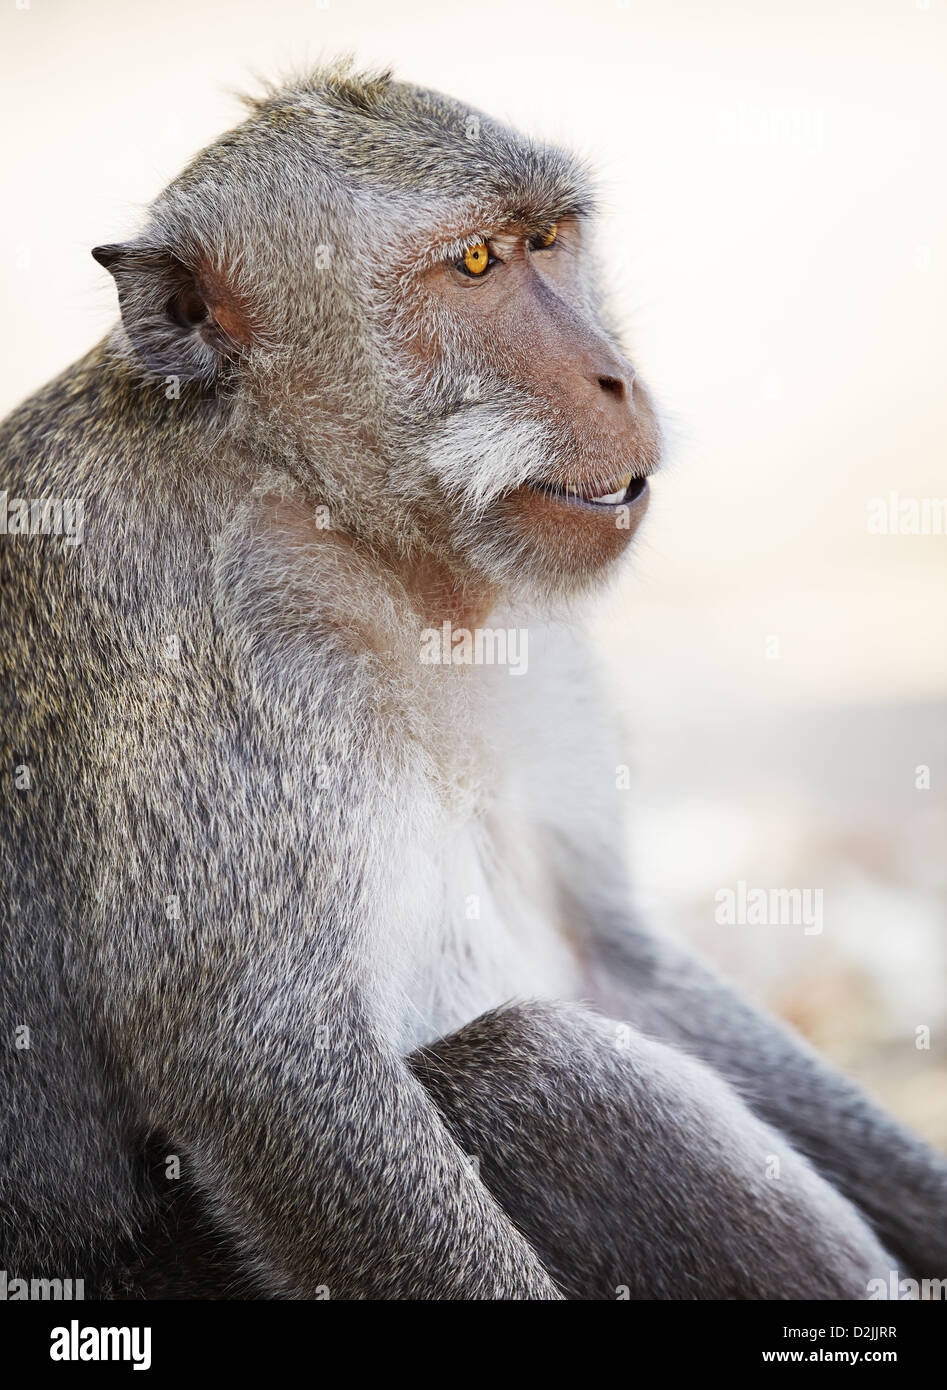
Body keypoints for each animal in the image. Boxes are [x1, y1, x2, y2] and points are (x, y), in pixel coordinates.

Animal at [1, 60, 945, 1301]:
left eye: (547, 241)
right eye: (476, 266)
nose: (615, 376)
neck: (334, 518)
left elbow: (608, 953)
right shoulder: (211, 669)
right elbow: (275, 1077)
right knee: (535, 1074)